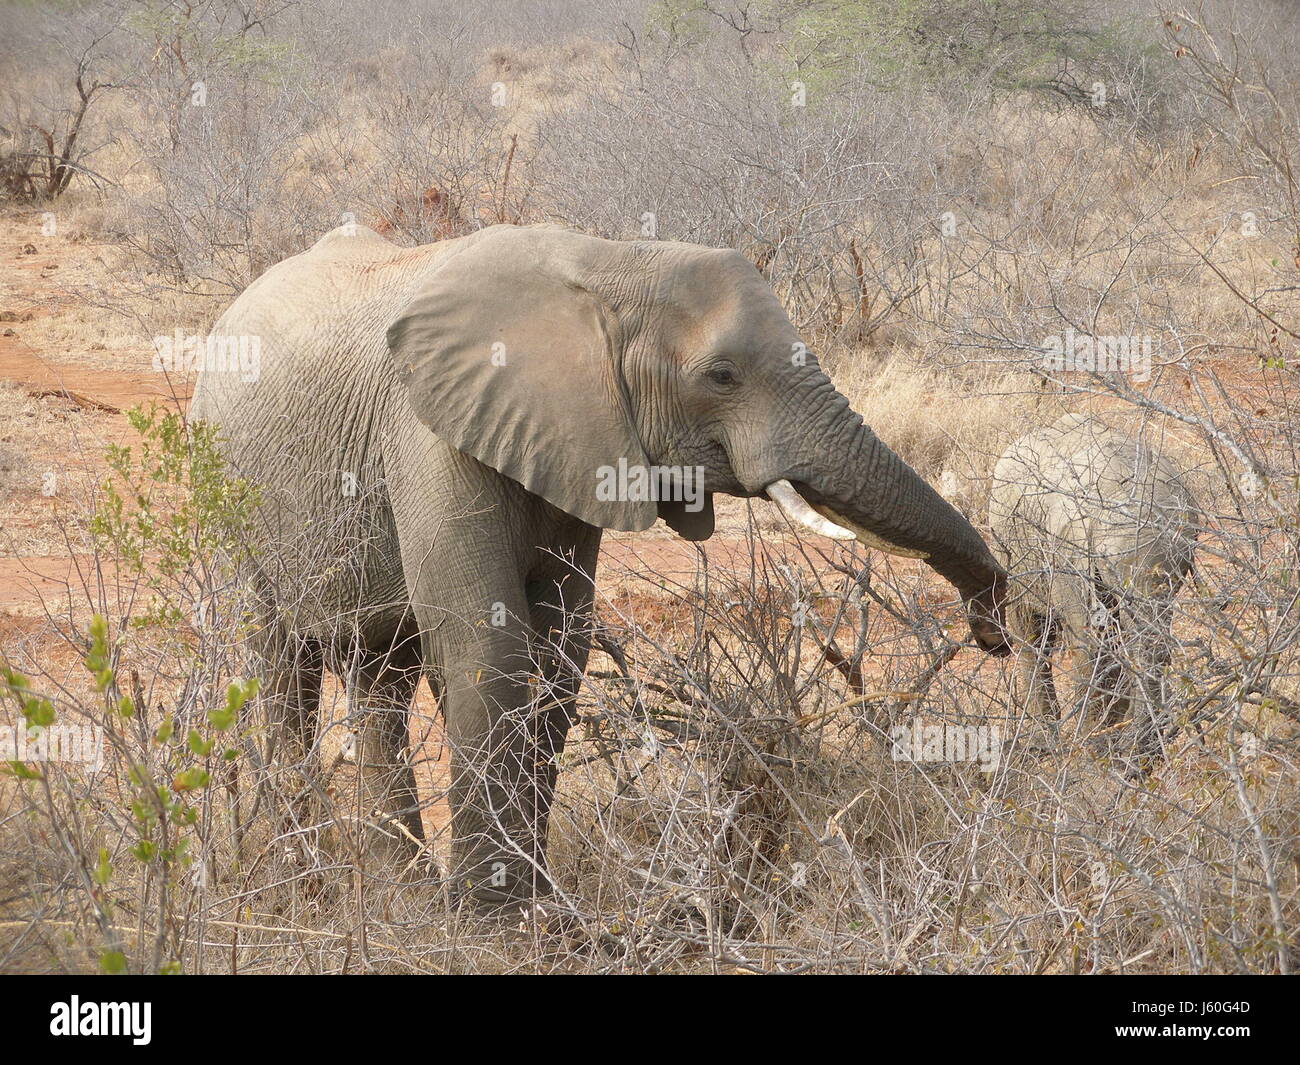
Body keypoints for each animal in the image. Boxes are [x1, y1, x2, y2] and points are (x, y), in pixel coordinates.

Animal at [191, 222, 1010, 906]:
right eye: (722, 375)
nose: (996, 630)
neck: (610, 262)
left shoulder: (577, 444)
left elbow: (559, 656)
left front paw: (538, 909)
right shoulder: (427, 435)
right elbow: (488, 646)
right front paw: (490, 923)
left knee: (379, 677)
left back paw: (405, 889)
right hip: (229, 486)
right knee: (278, 668)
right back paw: (307, 884)